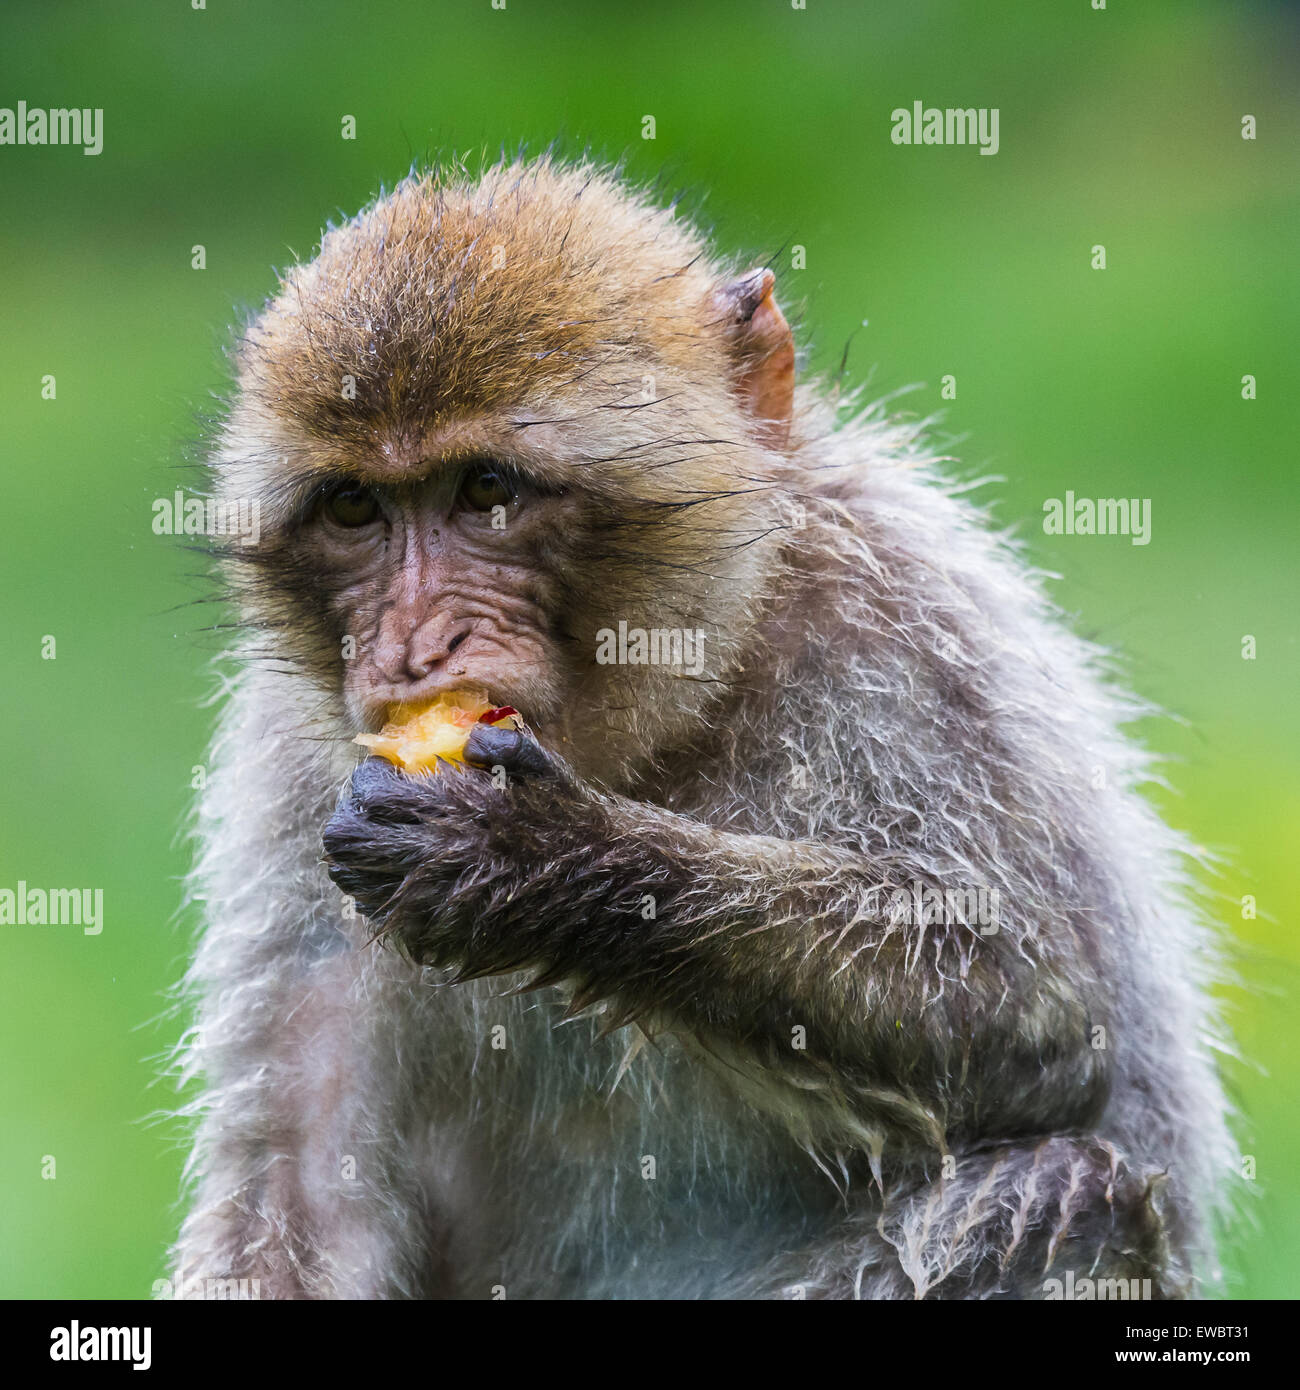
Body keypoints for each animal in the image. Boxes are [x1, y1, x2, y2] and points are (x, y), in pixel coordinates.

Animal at [171, 156, 1234, 1300]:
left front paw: (530, 859)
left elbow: (1044, 1017)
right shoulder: (289, 764)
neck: (664, 721)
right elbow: (296, 1189)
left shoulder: (909, 642)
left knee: (1069, 1196)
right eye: (355, 509)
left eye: (487, 489)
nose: (412, 648)